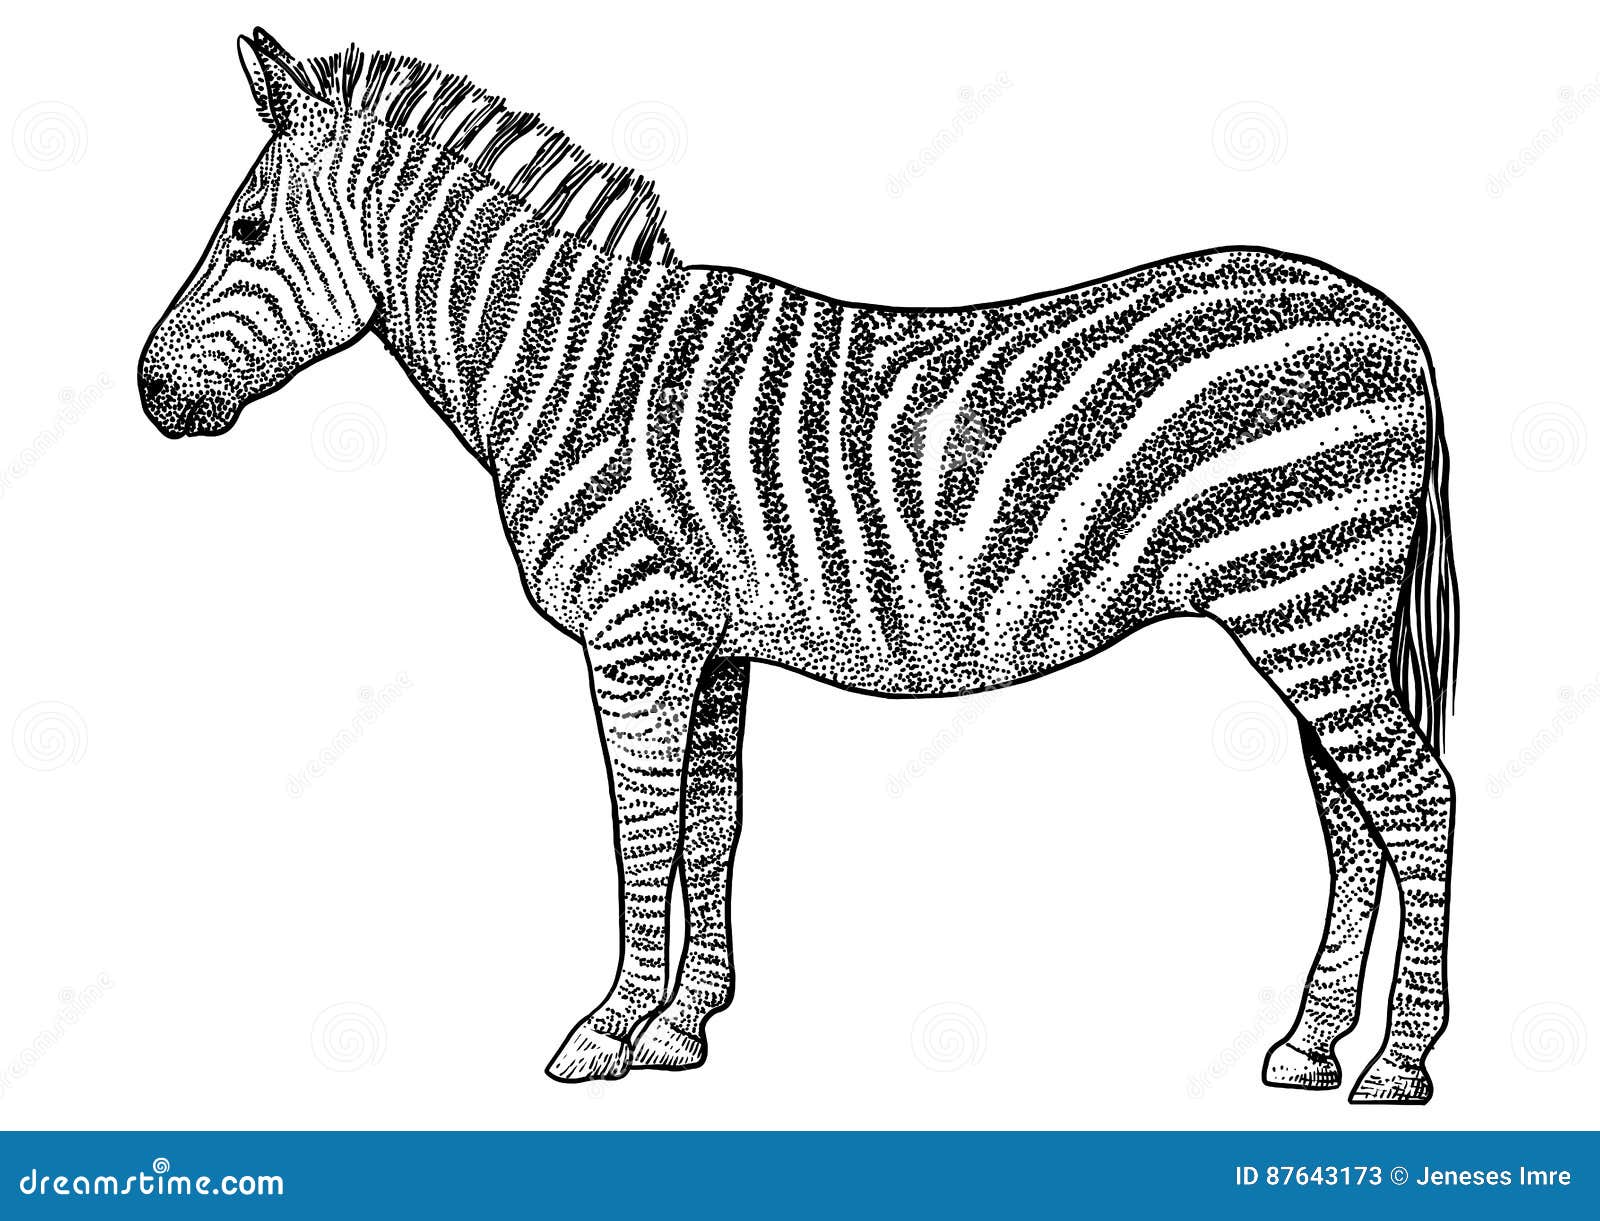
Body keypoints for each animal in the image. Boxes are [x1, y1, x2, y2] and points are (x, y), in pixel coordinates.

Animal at [139, 30, 1460, 1102]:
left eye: (245, 231)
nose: (150, 394)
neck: (571, 371)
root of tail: (1395, 319)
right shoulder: (711, 646)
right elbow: (710, 827)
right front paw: (683, 1026)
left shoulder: (638, 630)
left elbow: (641, 828)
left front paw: (608, 1030)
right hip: (1312, 611)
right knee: (1352, 817)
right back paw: (1309, 1048)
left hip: (1304, 598)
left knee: (1414, 800)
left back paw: (1396, 1063)